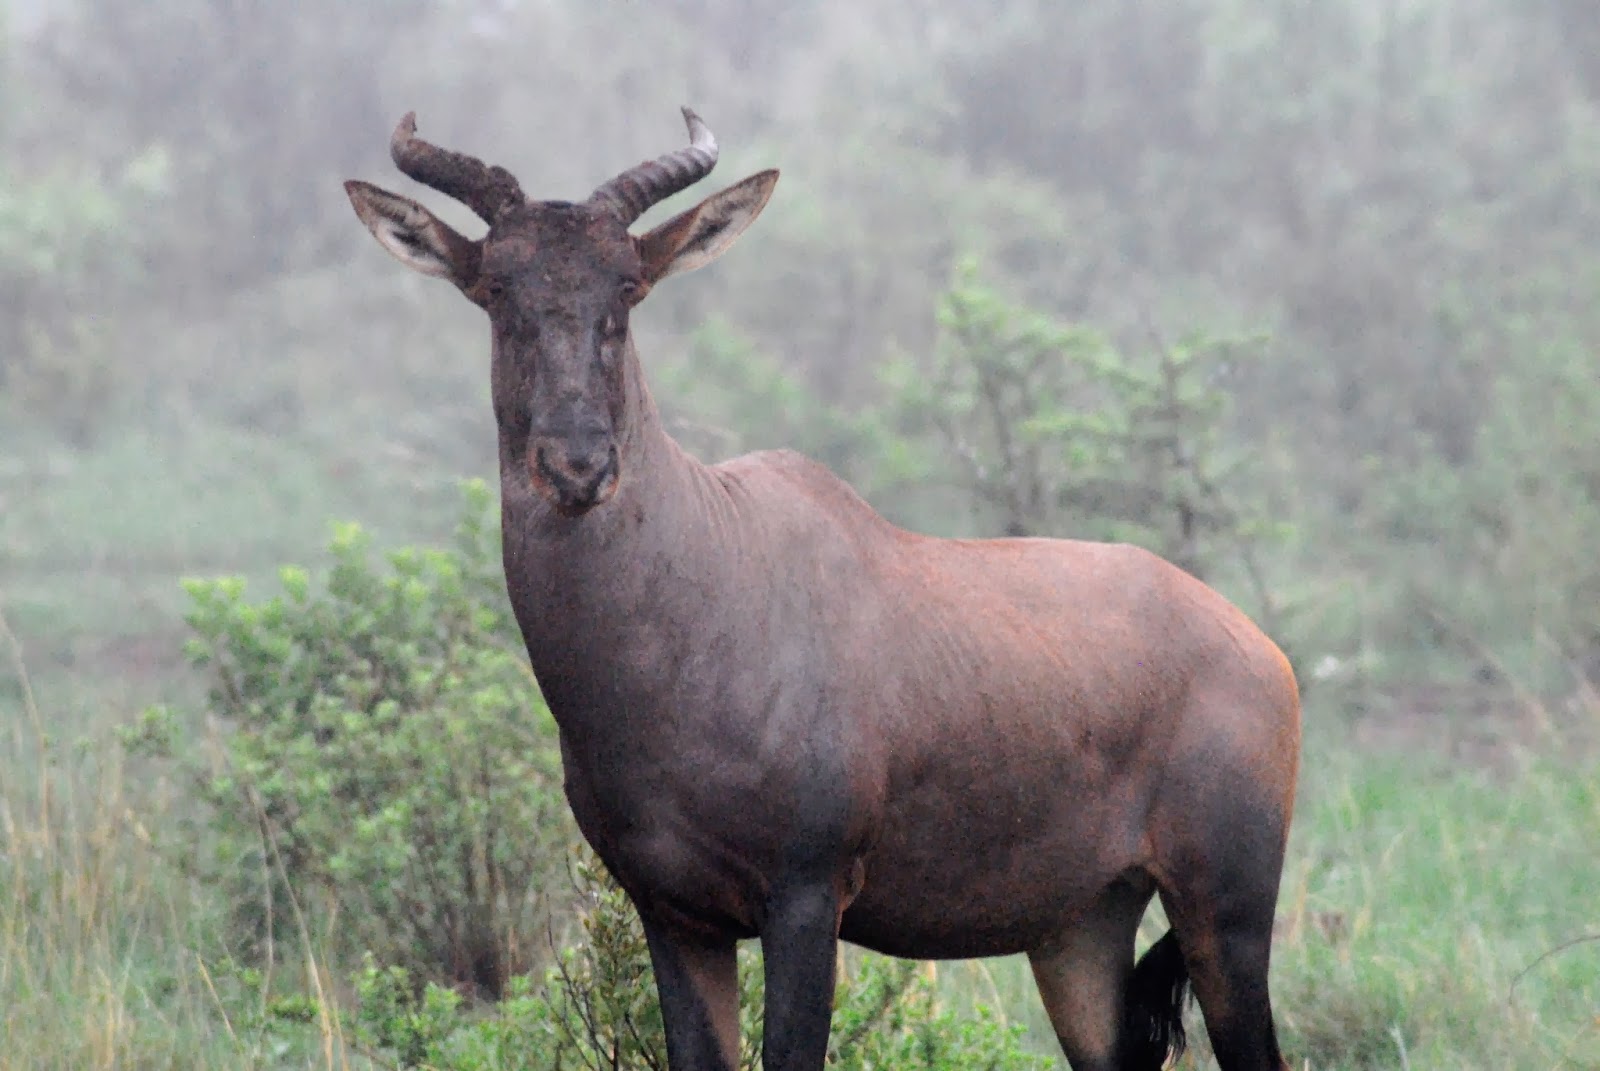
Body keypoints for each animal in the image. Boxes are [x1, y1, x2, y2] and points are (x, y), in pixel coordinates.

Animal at [345, 106, 1301, 1071]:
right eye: (498, 287)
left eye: (628, 287)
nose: (579, 466)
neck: (708, 571)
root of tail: (1261, 651)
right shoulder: (676, 916)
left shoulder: (805, 900)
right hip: (1079, 929)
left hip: (1225, 913)